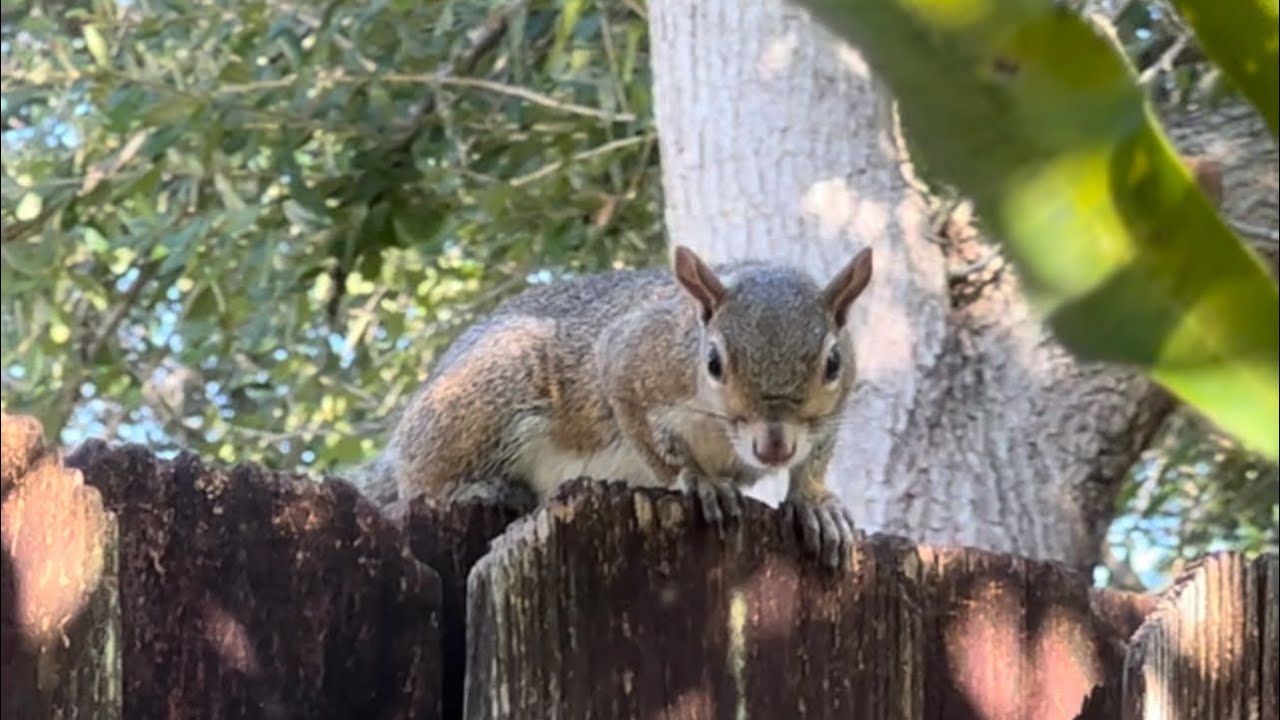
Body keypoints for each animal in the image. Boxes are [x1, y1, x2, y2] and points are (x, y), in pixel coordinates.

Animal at [361, 245, 873, 570]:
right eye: (713, 362)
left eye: (833, 362)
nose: (773, 448)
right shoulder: (628, 361)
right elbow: (647, 438)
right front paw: (699, 480)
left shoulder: (833, 410)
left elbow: (816, 455)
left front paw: (815, 502)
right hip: (484, 393)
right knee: (418, 480)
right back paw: (475, 488)